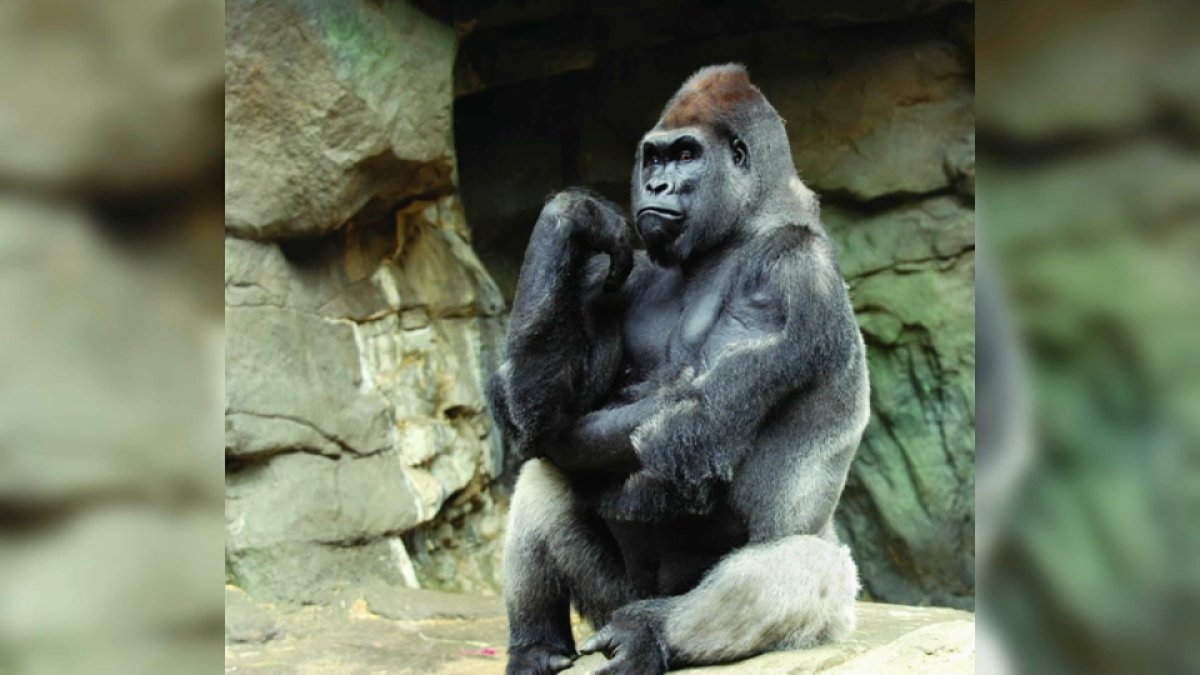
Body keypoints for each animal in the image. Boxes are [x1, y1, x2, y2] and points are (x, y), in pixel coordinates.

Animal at [486, 64, 870, 675]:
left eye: (687, 155)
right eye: (655, 159)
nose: (658, 187)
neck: (747, 221)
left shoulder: (790, 271)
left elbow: (689, 425)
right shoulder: (627, 271)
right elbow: (543, 408)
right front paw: (573, 218)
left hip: (828, 608)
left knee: (808, 565)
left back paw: (650, 633)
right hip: (612, 598)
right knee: (545, 472)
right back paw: (537, 646)